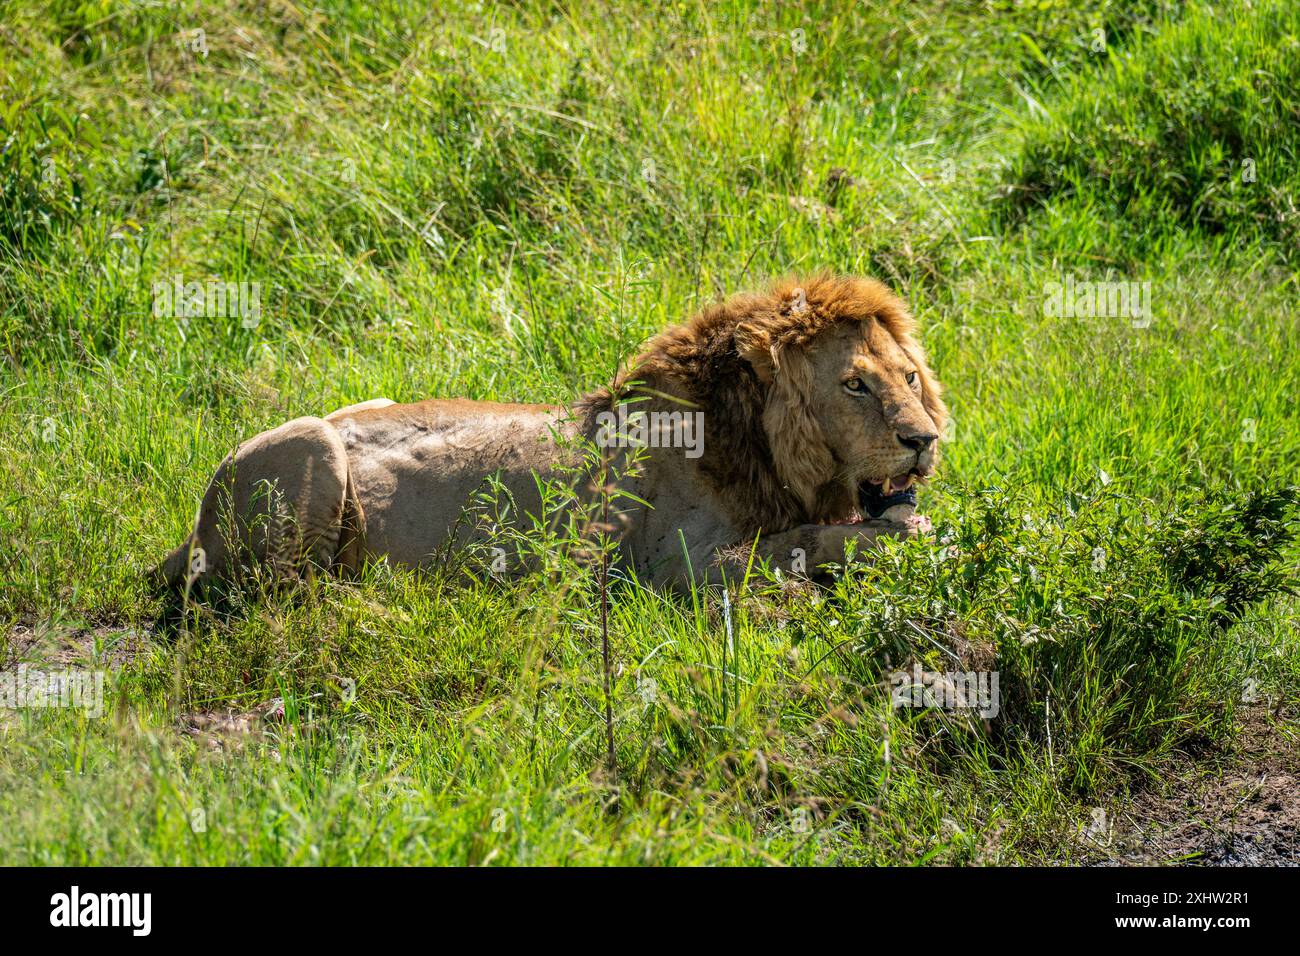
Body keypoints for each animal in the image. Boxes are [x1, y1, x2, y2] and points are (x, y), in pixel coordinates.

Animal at [157, 273, 946, 591]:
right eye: (854, 385)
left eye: (909, 379)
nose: (923, 441)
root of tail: (190, 528)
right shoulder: (671, 570)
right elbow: (801, 542)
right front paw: (903, 537)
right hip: (309, 444)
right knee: (280, 594)